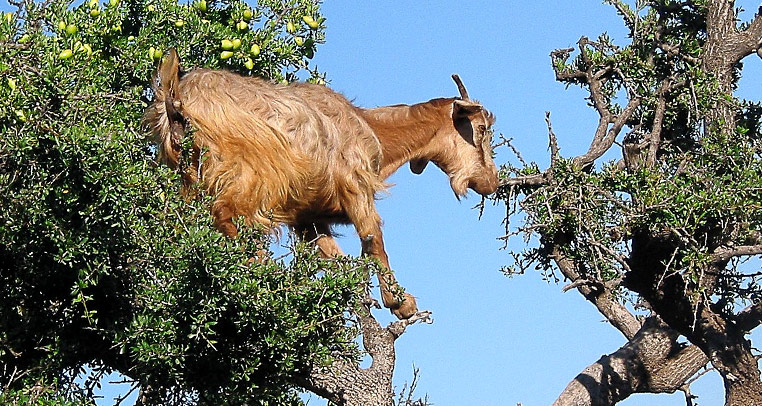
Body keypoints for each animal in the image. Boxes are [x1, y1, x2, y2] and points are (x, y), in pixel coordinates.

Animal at [144, 49, 498, 319]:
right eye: (480, 129)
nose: (491, 182)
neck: (372, 127)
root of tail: (177, 98)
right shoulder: (355, 186)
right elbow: (373, 239)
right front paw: (401, 303)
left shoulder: (309, 217)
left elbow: (333, 256)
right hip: (249, 175)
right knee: (227, 214)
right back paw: (266, 272)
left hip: (188, 181)